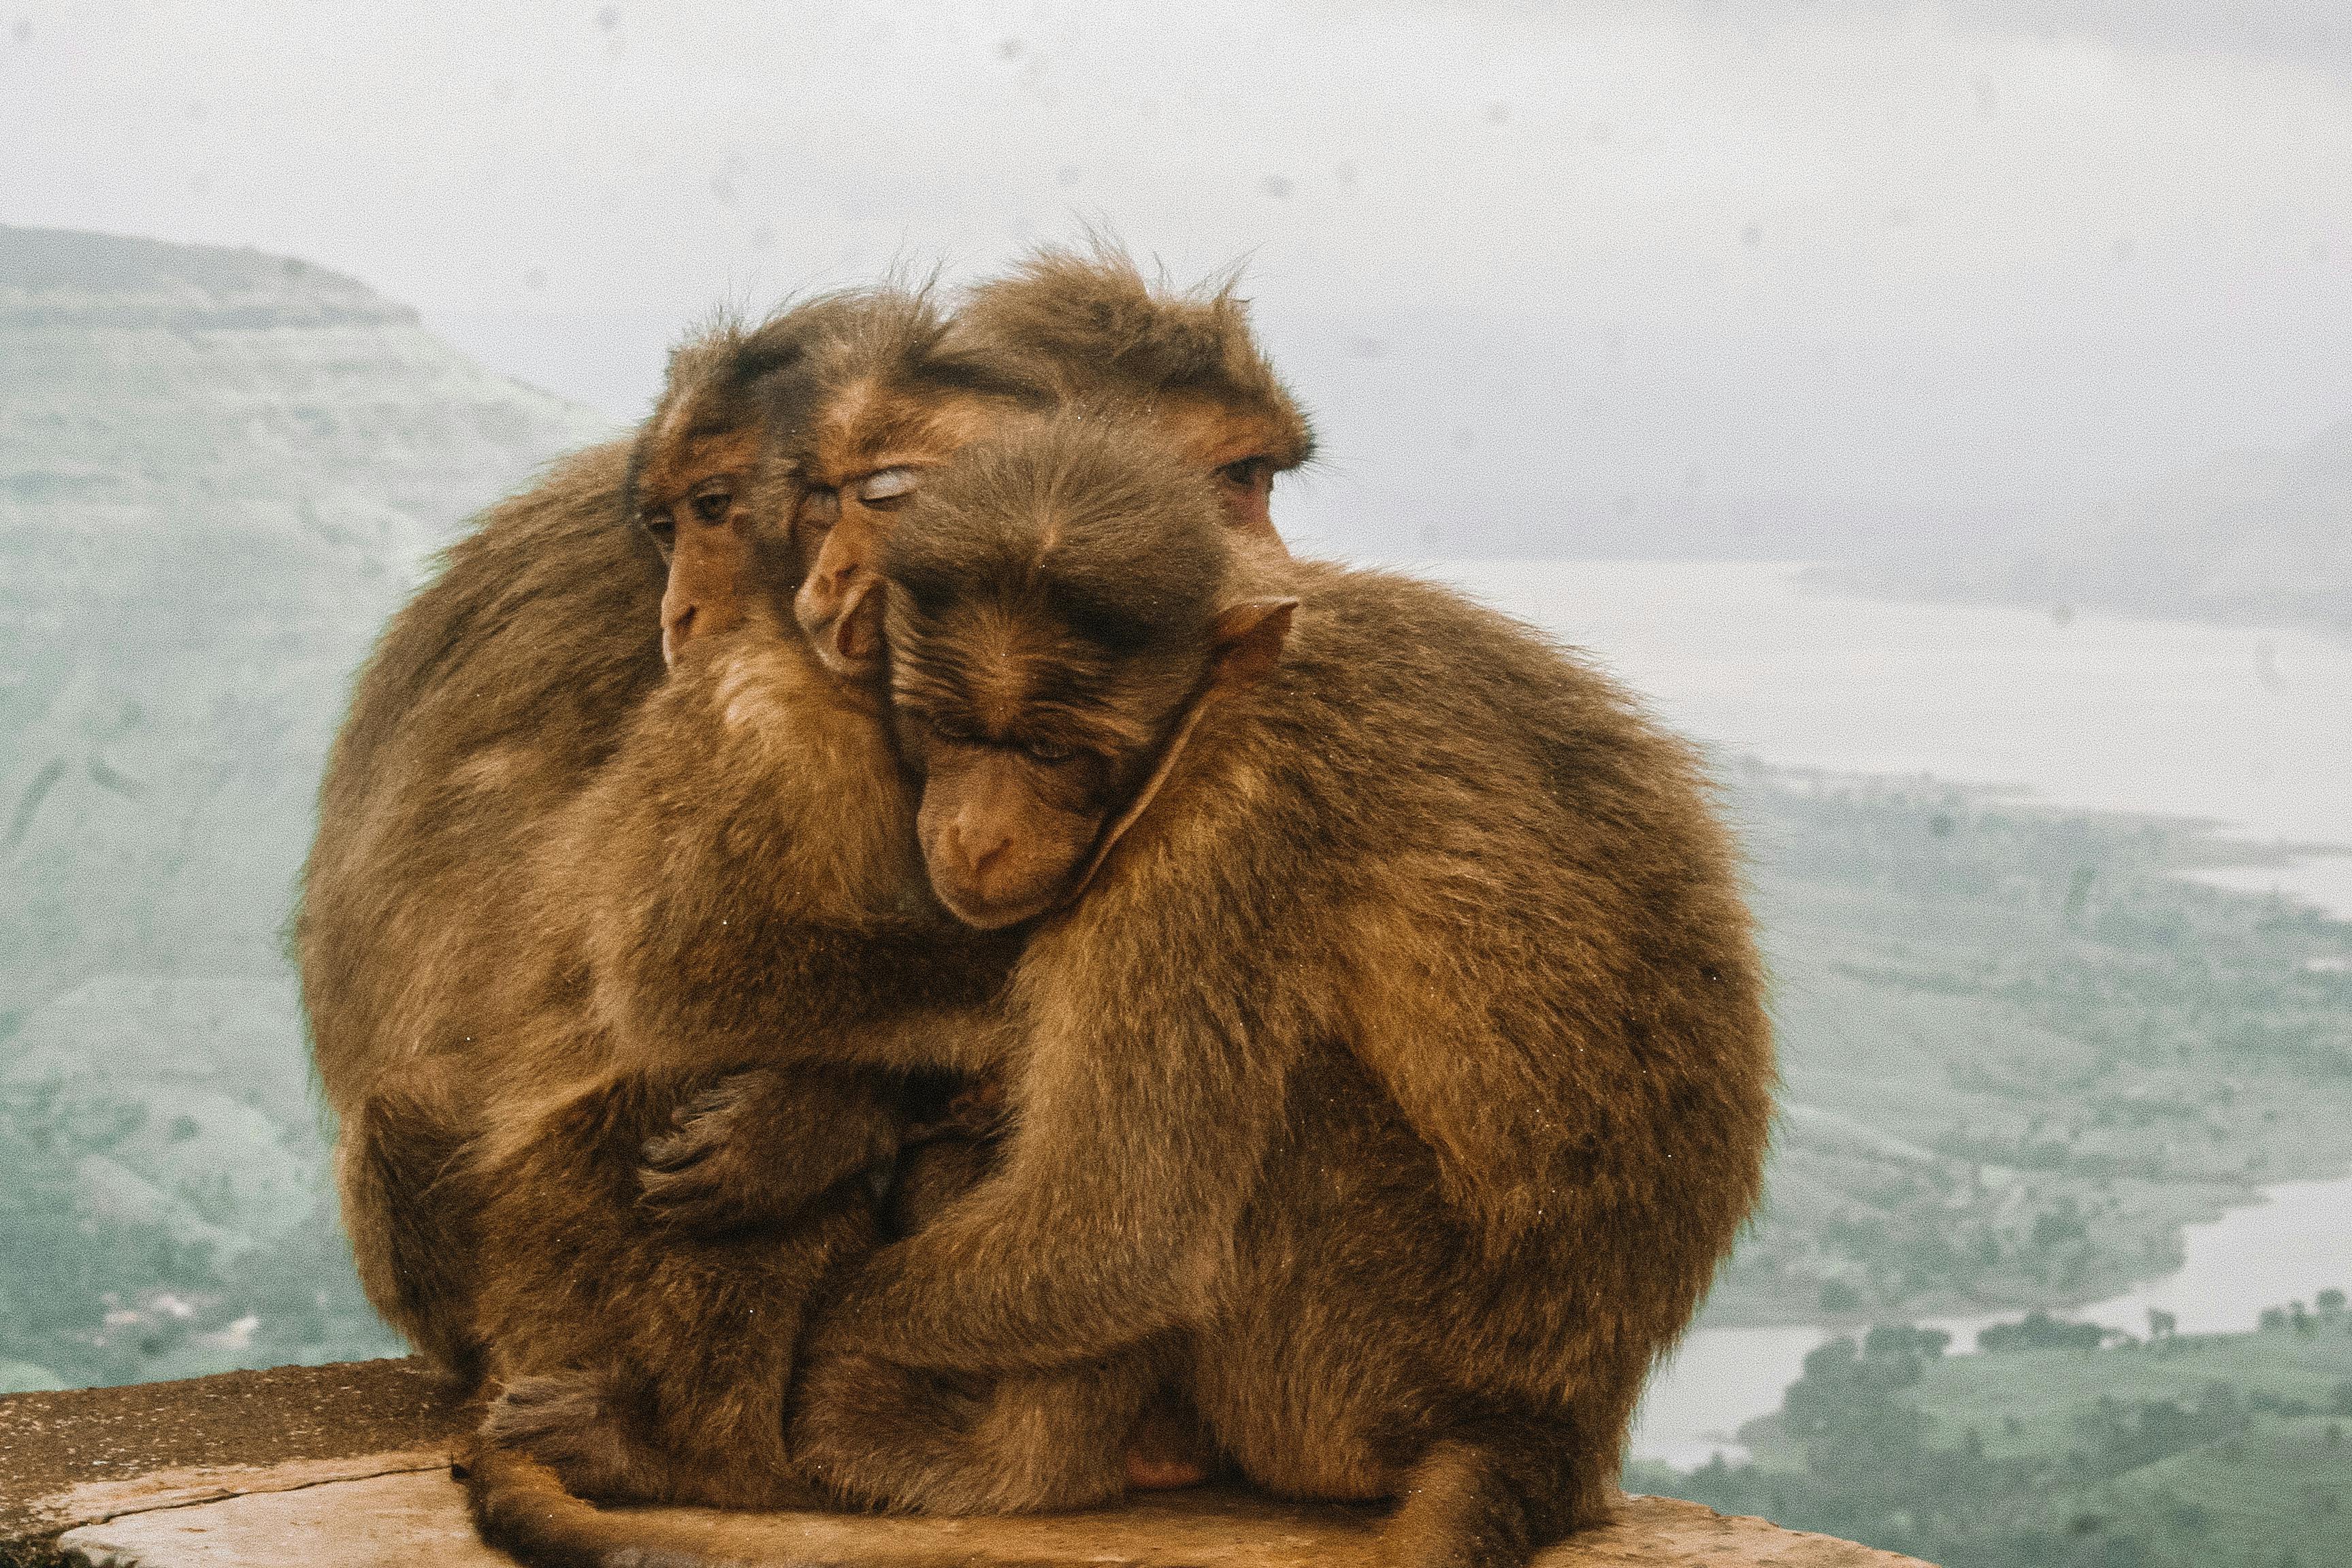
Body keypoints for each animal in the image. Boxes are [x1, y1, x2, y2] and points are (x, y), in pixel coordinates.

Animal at [732, 413, 1779, 1568]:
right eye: (954, 730)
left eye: (1050, 747)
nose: (975, 834)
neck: (1218, 706)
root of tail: (1547, 1424)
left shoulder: (1218, 847)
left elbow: (1116, 1239)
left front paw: (827, 1335)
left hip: (1360, 1376)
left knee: (1267, 1123)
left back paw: (1016, 1468)